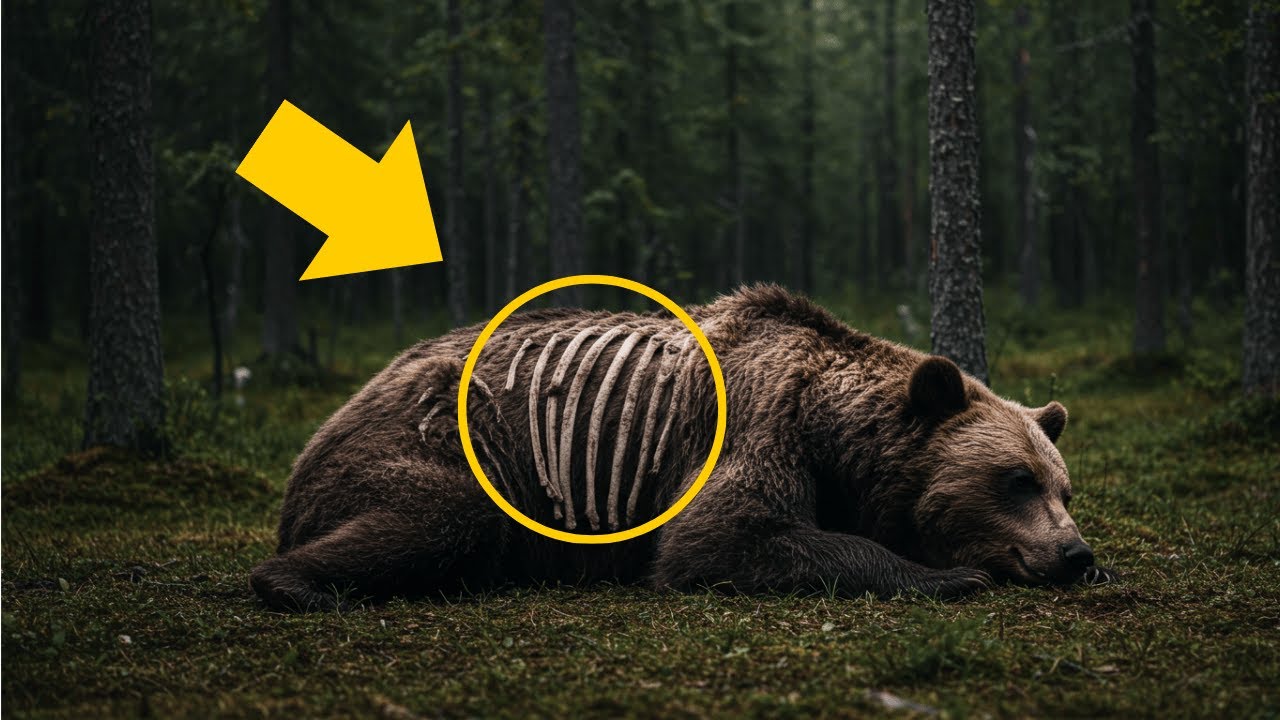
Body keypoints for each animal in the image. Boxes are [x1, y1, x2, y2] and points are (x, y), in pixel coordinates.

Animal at [250, 285, 1116, 611]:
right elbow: (721, 538)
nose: (1073, 553)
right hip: (443, 448)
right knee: (439, 515)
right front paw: (948, 572)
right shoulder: (757, 426)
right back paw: (303, 586)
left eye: (1062, 487)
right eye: (1014, 480)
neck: (835, 435)